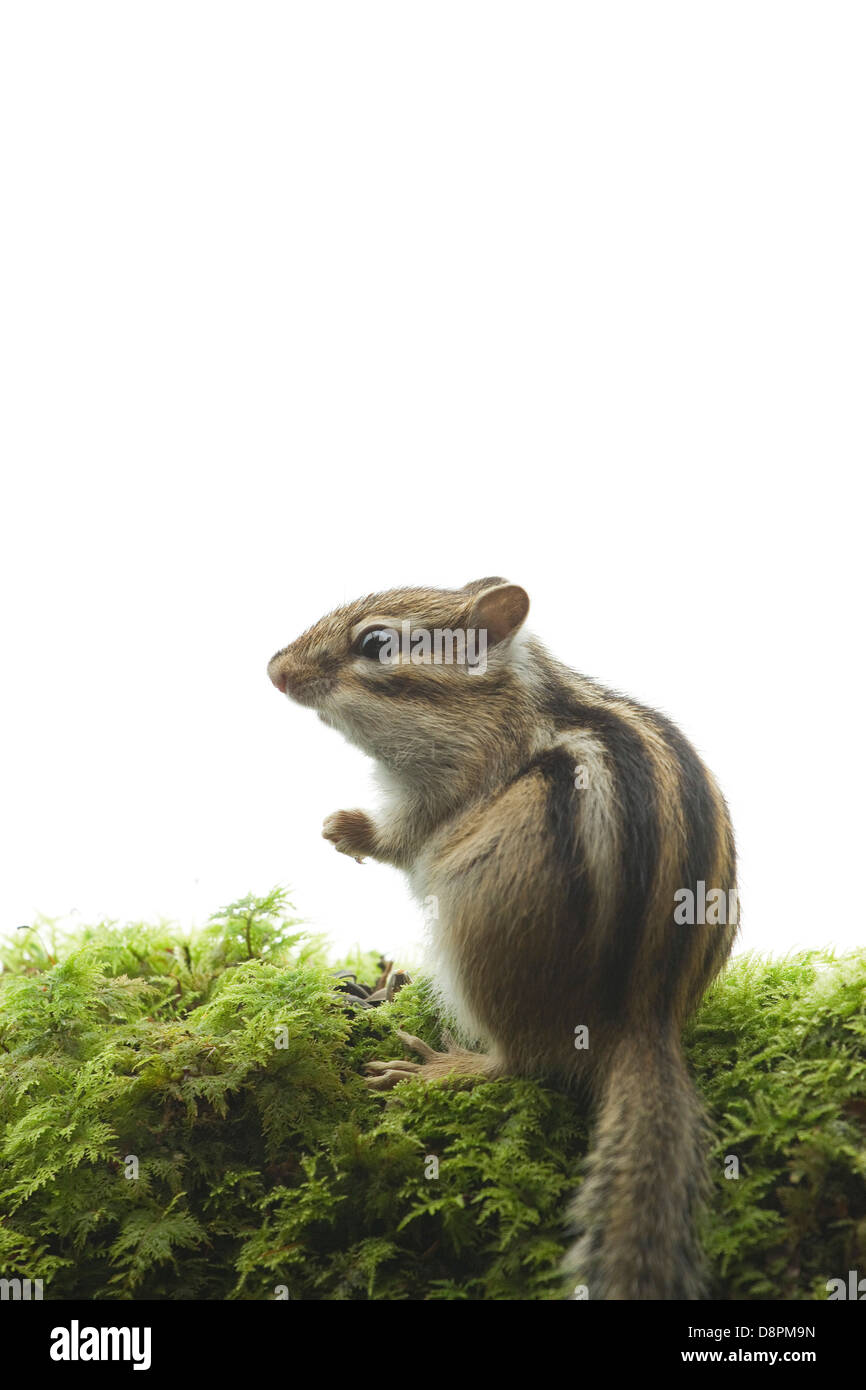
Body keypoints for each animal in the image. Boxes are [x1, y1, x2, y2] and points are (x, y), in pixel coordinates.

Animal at [267, 578, 738, 1299]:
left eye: (376, 645)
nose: (276, 669)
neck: (506, 703)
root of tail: (643, 1016)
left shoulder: (452, 785)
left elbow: (403, 840)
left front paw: (345, 829)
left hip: (474, 926)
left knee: (516, 1062)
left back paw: (439, 1068)